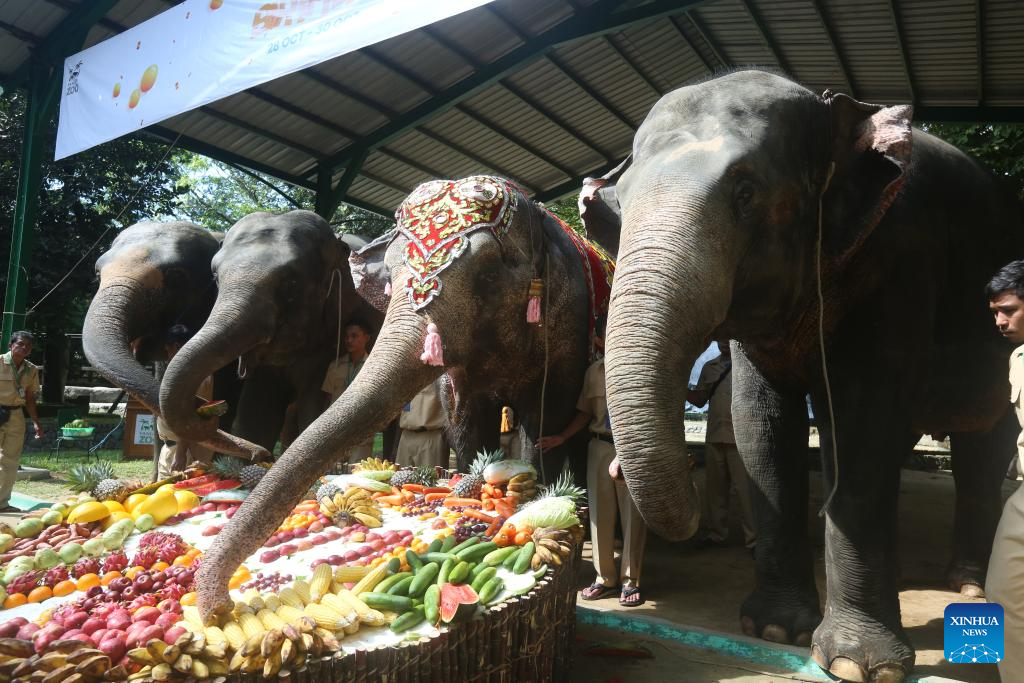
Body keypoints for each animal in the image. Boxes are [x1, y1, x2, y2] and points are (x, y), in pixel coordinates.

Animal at [159, 210, 386, 462]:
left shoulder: (331, 340)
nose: (262, 455)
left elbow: (312, 410)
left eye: (291, 282)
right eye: (215, 276)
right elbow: (257, 416)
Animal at [195, 176, 612, 619]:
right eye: (391, 277)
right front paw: (483, 484)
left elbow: (547, 419)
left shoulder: (568, 325)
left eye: (488, 275)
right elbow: (463, 417)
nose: (220, 606)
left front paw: (537, 495)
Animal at [601, 69, 1023, 682]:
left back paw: (967, 585)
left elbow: (861, 423)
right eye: (621, 202)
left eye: (746, 194)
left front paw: (857, 664)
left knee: (983, 437)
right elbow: (760, 424)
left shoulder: (902, 257)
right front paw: (776, 630)